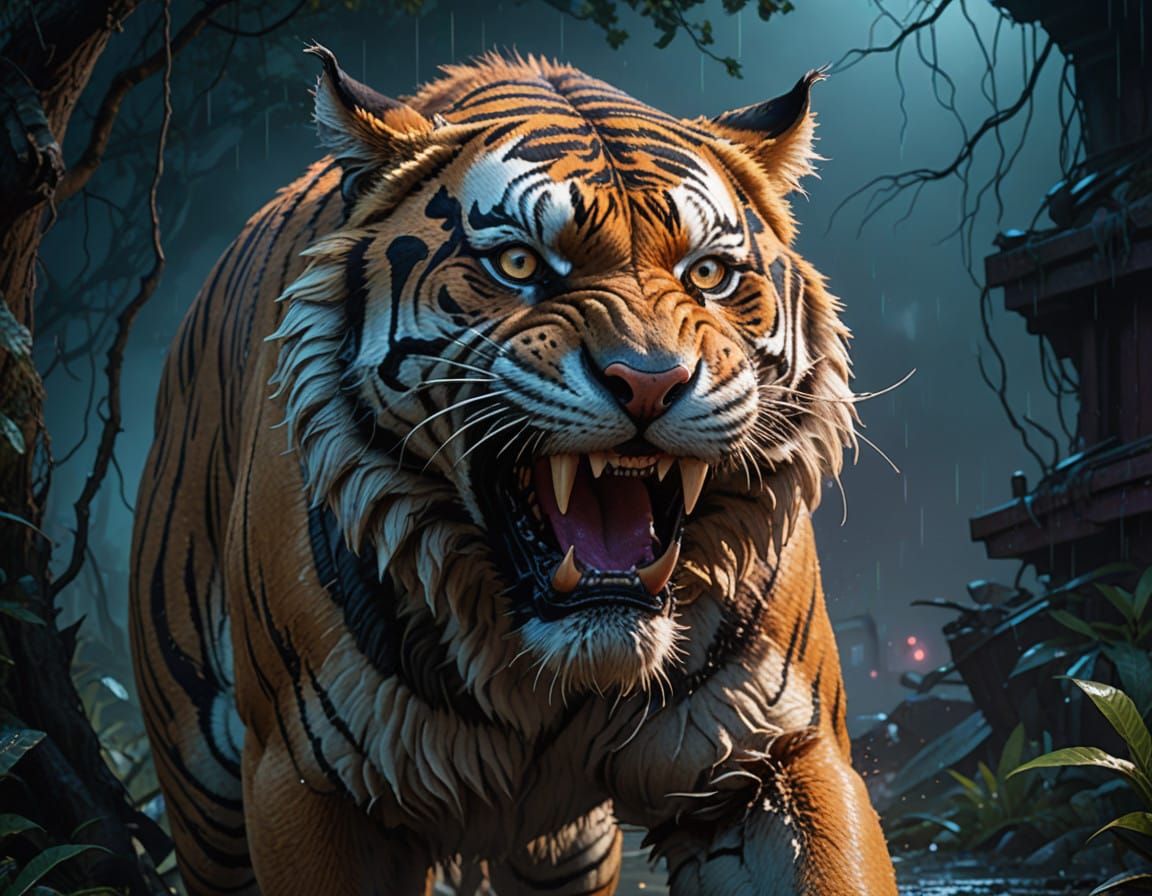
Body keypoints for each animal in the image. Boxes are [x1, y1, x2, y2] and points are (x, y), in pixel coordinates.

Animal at [129, 45, 897, 895]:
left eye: (707, 275)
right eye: (519, 262)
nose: (651, 381)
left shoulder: (777, 750)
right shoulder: (308, 787)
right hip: (204, 793)